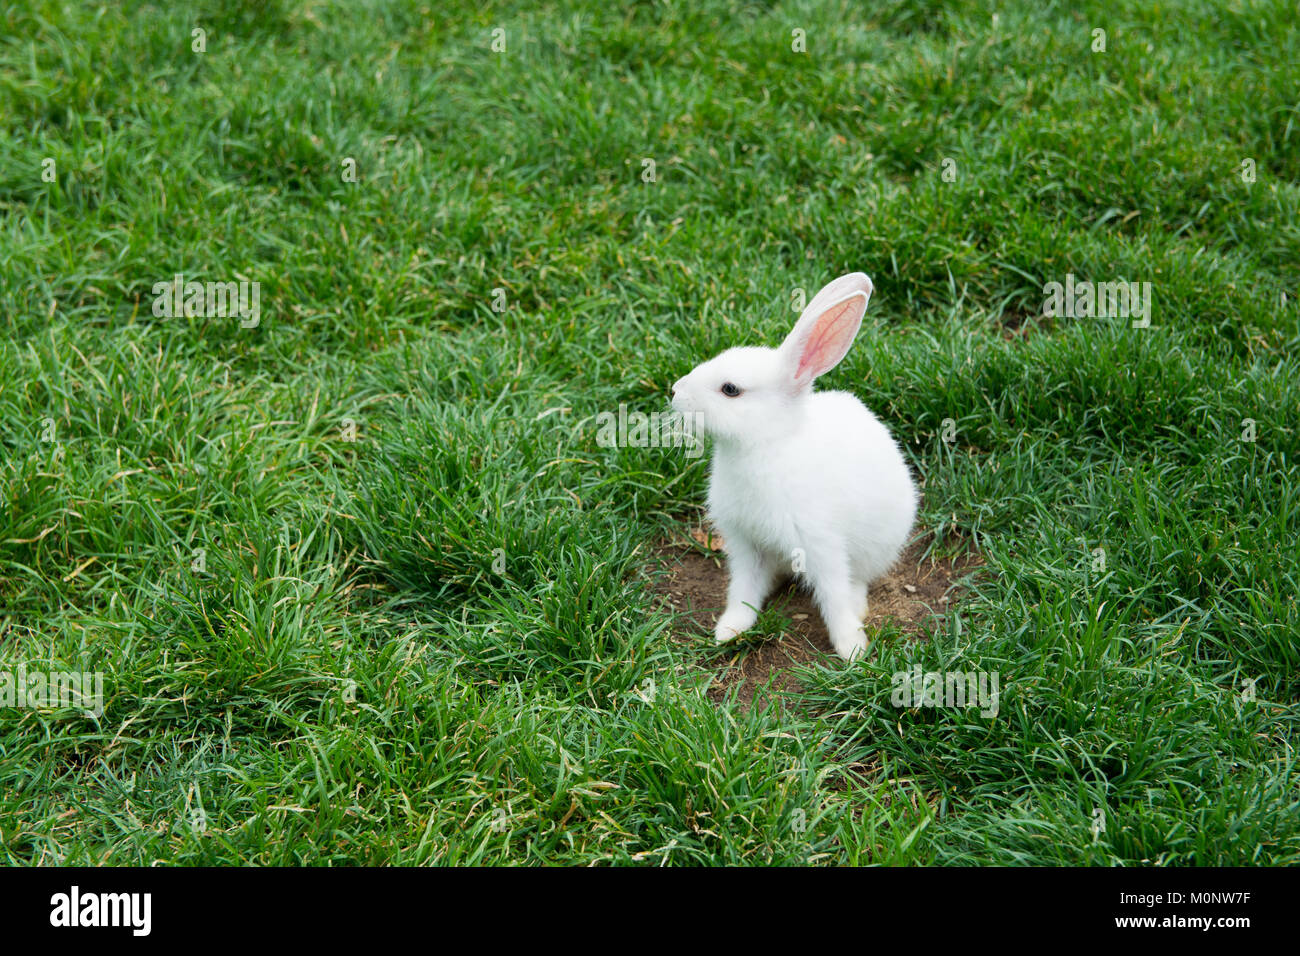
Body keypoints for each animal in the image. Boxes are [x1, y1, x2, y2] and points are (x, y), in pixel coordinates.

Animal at [670, 272, 917, 661]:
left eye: (730, 389)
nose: (675, 391)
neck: (765, 446)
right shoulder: (746, 545)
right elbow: (744, 589)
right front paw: (729, 630)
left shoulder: (820, 544)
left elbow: (833, 594)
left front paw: (851, 648)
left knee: (857, 581)